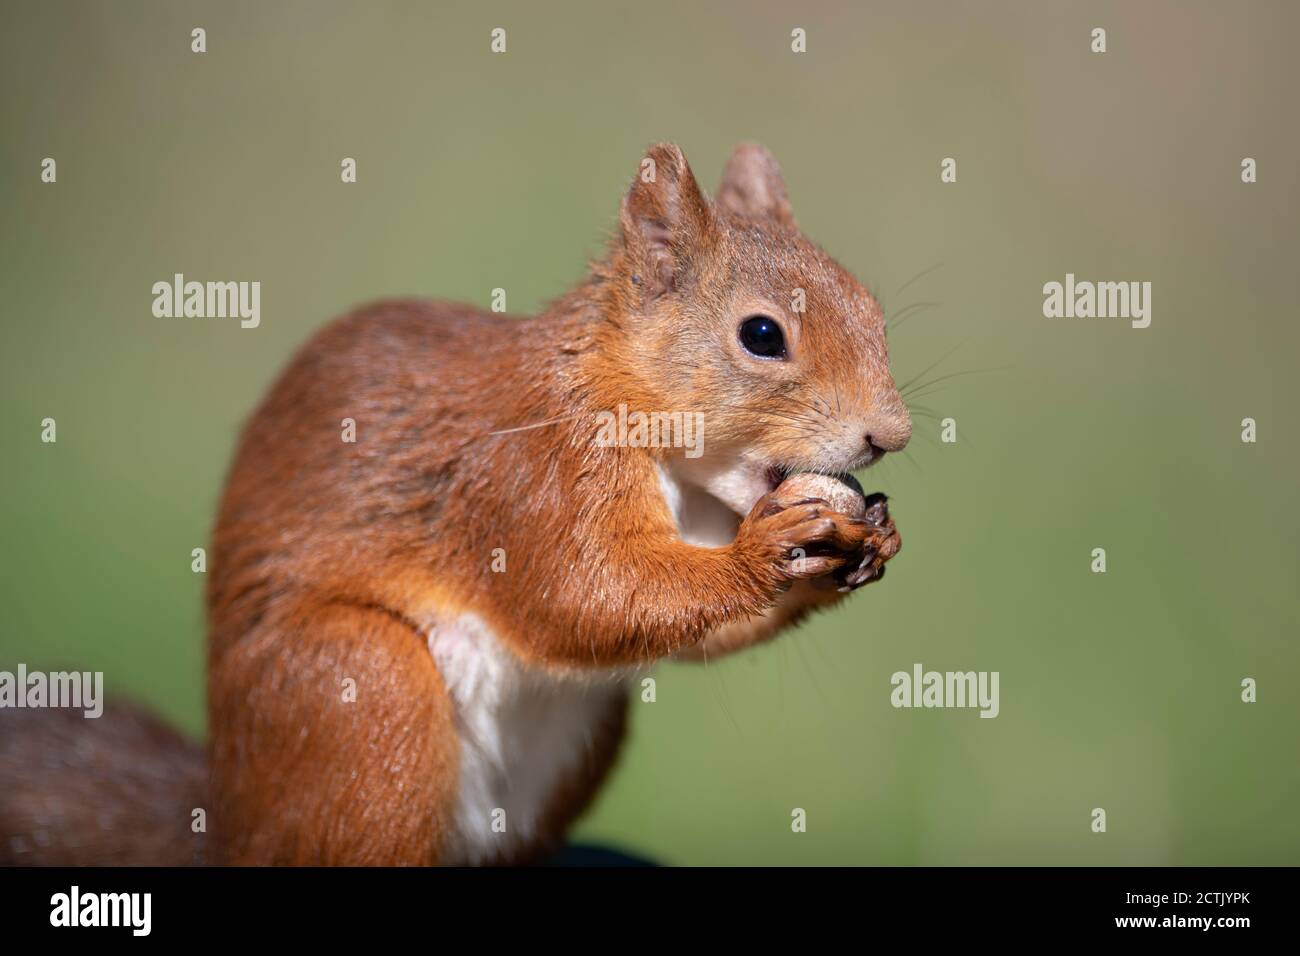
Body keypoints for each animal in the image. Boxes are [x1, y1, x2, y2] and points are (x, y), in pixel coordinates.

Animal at [0, 142, 910, 866]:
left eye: (872, 307)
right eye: (762, 335)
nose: (891, 433)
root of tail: (228, 822)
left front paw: (859, 547)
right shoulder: (527, 474)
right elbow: (583, 593)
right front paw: (765, 551)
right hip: (363, 700)